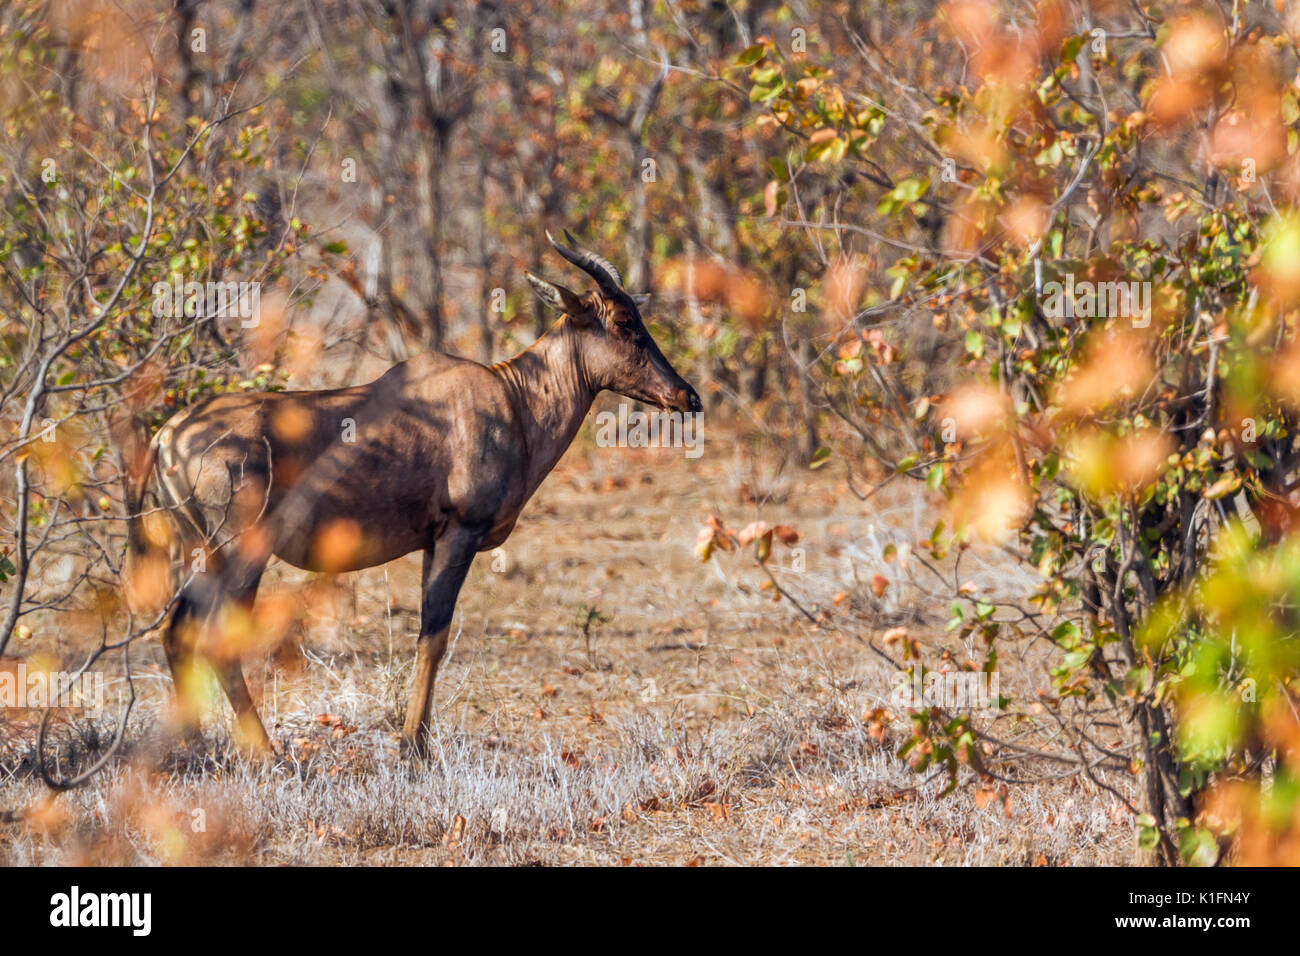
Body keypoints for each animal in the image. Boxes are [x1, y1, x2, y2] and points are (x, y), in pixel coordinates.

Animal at [123, 232, 701, 756]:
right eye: (623, 322)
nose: (687, 396)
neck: (509, 397)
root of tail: (166, 436)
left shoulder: (431, 541)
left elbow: (428, 636)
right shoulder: (459, 533)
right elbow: (434, 636)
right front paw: (413, 746)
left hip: (195, 556)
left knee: (175, 633)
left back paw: (193, 745)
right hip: (241, 553)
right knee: (214, 639)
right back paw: (266, 753)